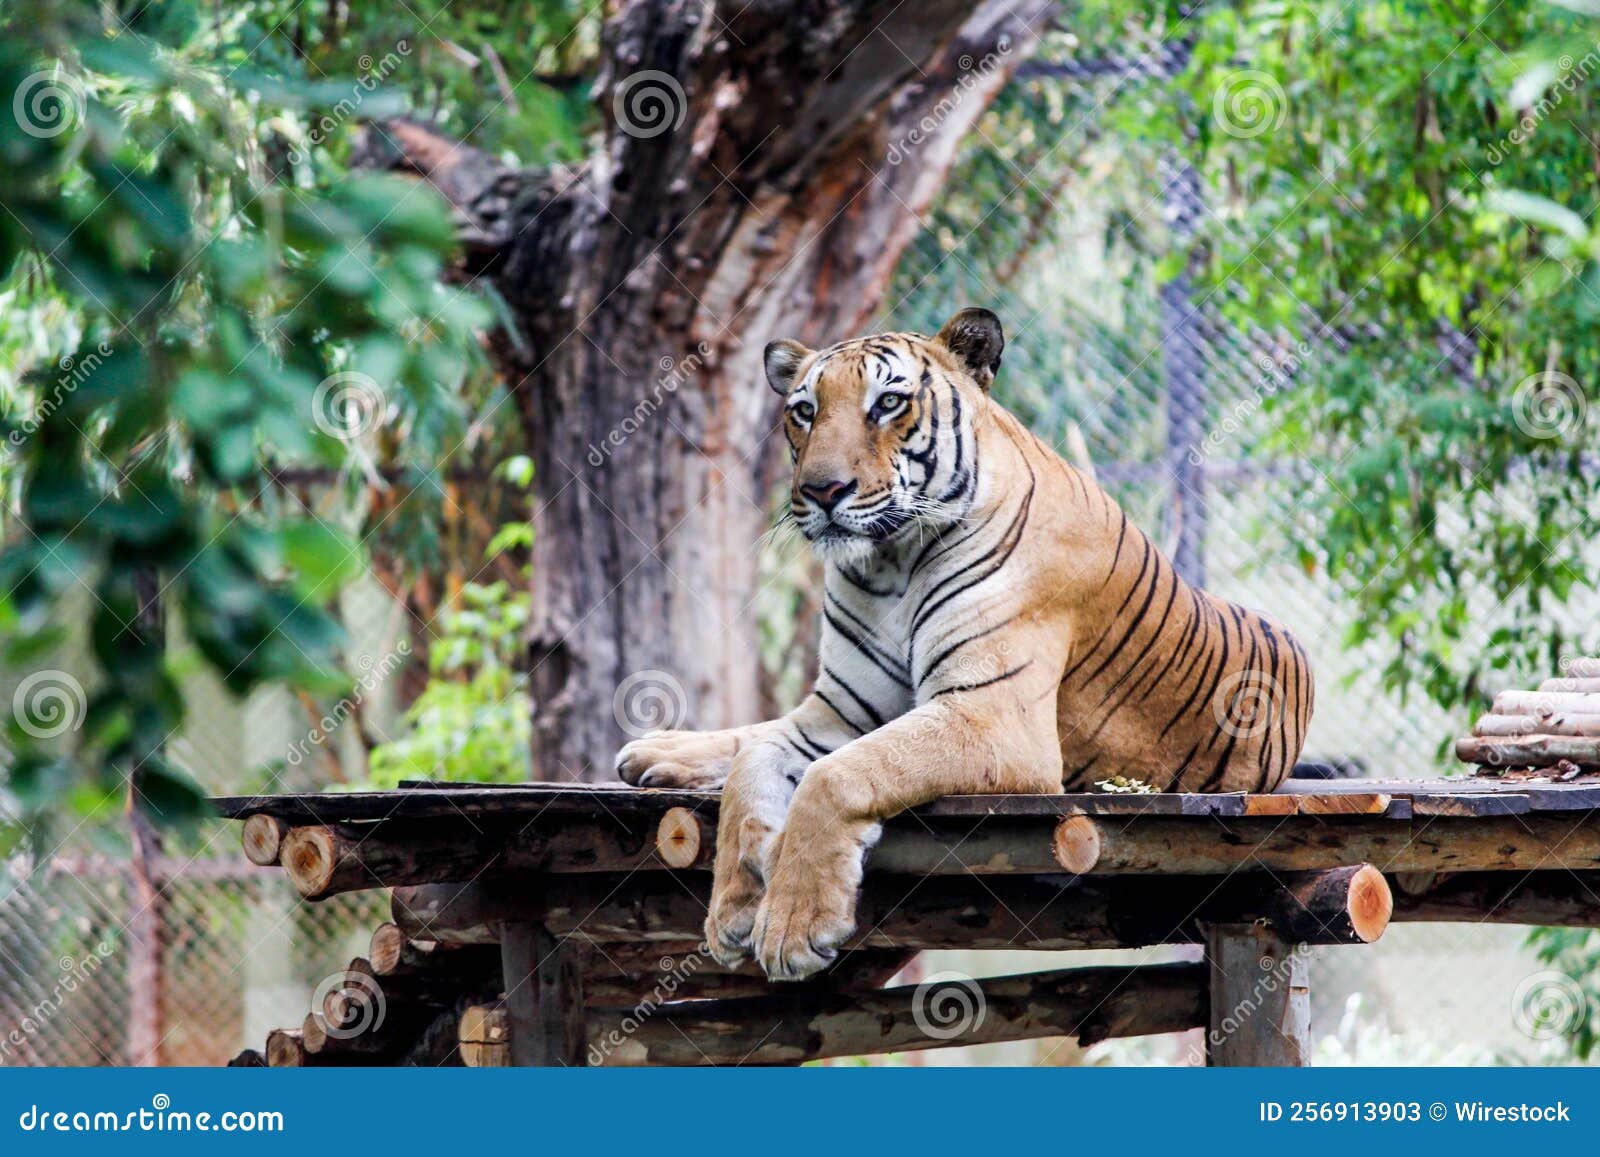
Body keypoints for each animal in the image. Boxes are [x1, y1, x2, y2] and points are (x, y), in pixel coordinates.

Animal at [615, 307, 1314, 981]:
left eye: (887, 403)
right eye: (805, 411)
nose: (821, 491)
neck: (890, 562)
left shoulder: (992, 716)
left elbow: (835, 774)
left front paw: (791, 925)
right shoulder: (839, 712)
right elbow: (756, 764)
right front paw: (733, 910)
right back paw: (654, 753)